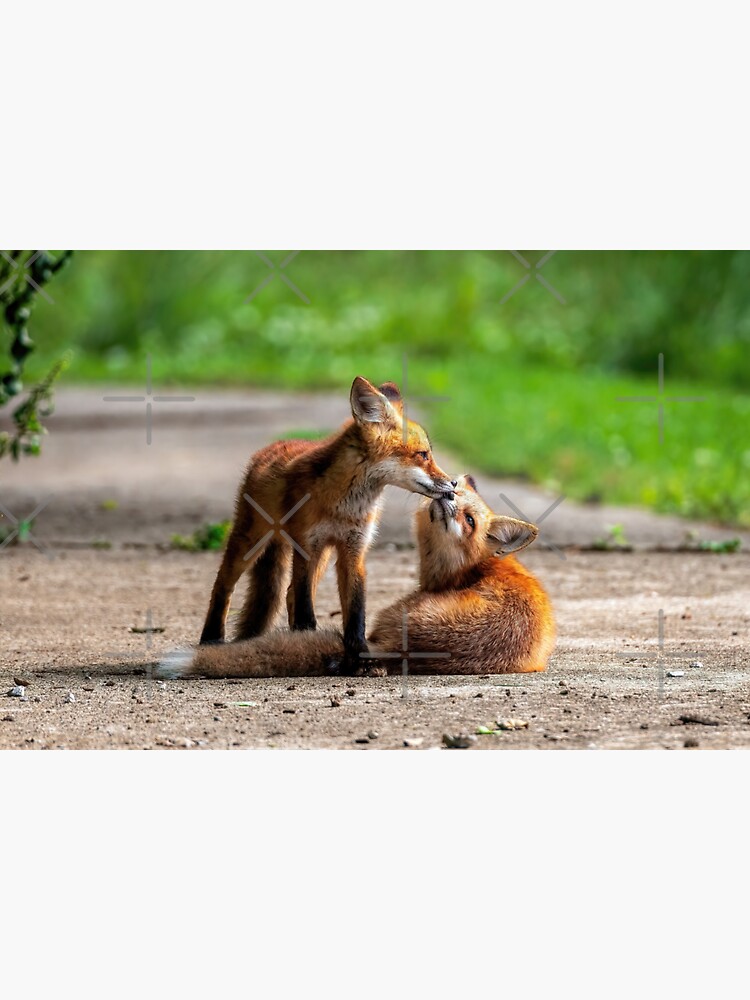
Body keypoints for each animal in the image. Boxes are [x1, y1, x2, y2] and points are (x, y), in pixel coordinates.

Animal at [198, 376, 456, 673]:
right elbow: (306, 609)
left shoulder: (354, 550)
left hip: (320, 556)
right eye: (423, 455)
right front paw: (310, 645)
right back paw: (211, 638)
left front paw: (361, 659)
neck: (343, 507)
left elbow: (355, 613)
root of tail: (270, 448)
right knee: (223, 586)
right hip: (251, 540)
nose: (453, 483)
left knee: (289, 593)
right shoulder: (306, 546)